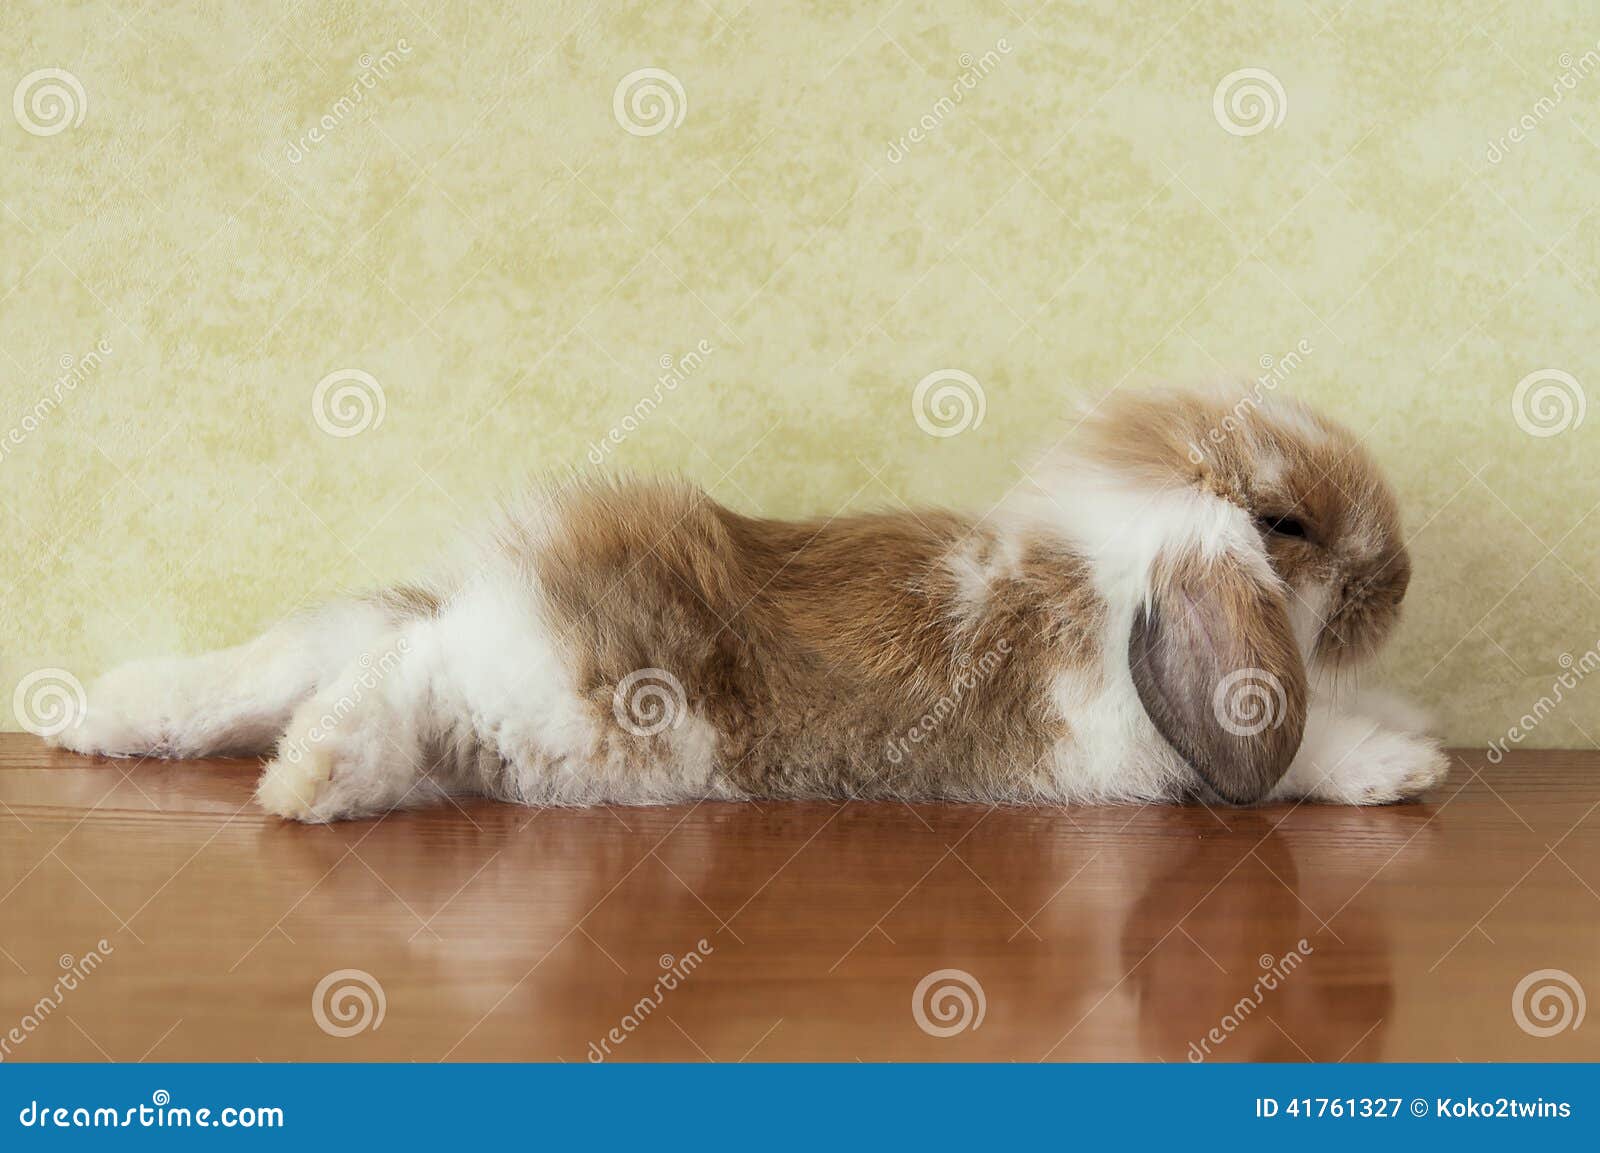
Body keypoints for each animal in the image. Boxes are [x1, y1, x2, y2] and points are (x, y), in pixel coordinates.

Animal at [51, 385, 1449, 822]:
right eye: (1288, 525)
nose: (1400, 577)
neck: (1105, 586)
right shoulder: (1127, 750)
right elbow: (1291, 749)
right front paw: (1401, 765)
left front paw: (1413, 736)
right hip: (575, 721)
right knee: (393, 679)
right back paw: (315, 773)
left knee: (309, 655)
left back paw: (102, 713)